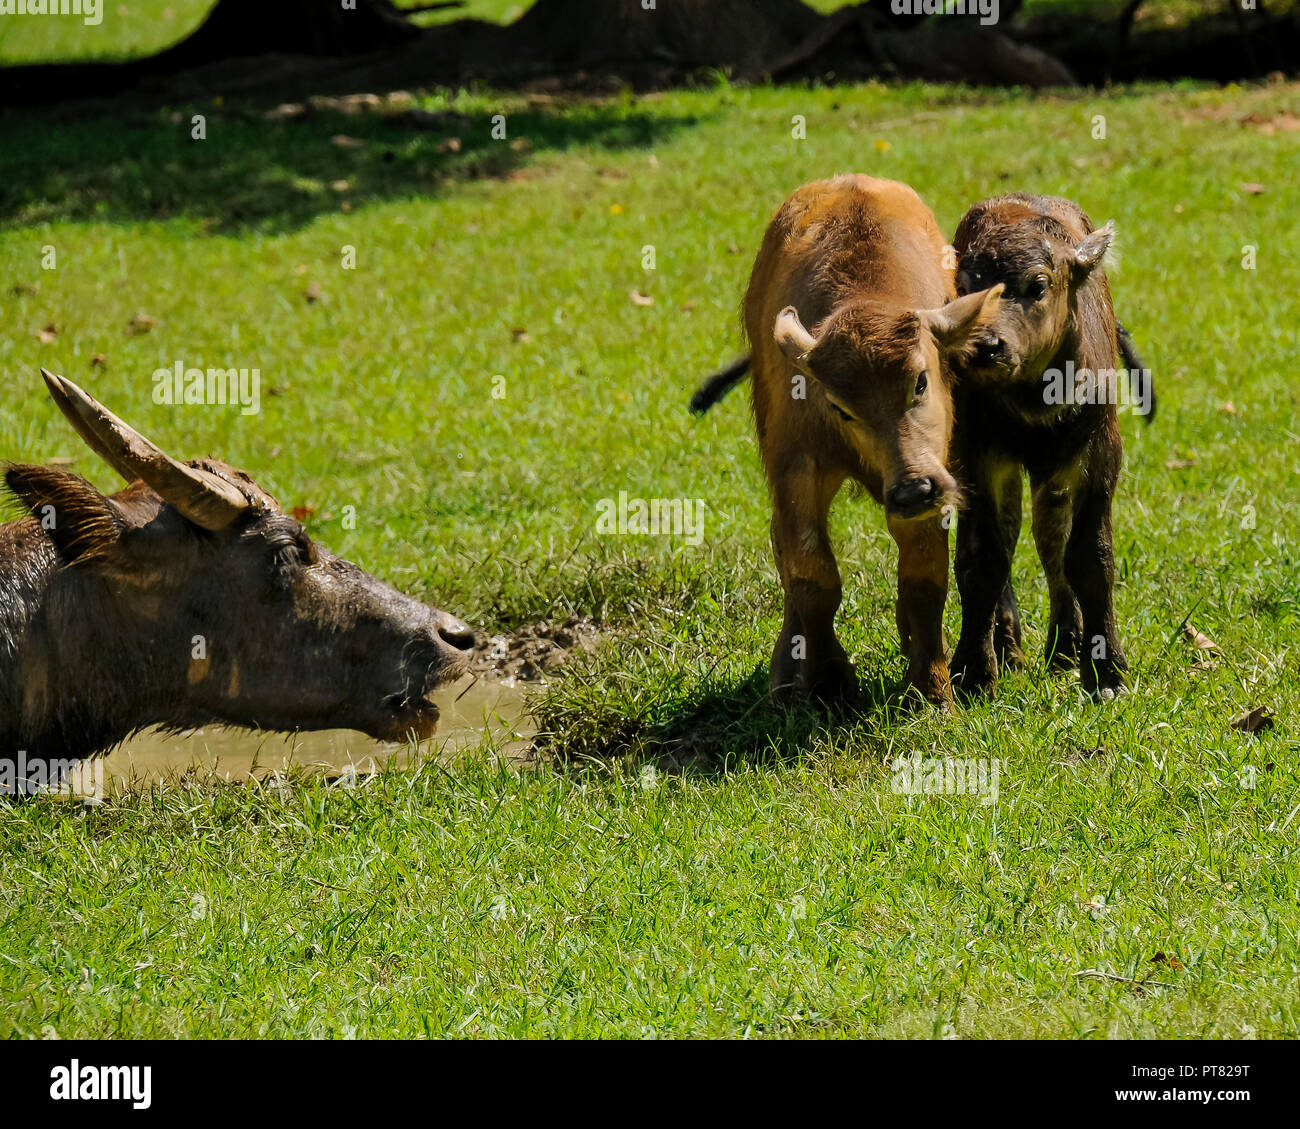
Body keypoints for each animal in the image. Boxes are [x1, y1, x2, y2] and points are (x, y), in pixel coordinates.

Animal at [694, 175, 1003, 705]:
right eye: (839, 407)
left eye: (921, 381)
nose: (913, 490)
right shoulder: (796, 469)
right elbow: (811, 574)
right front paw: (826, 684)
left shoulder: (932, 477)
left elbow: (924, 578)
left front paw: (932, 687)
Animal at [947, 192, 1141, 700]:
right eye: (965, 287)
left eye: (1037, 285)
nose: (984, 346)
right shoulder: (977, 454)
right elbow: (984, 559)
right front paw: (973, 672)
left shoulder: (1099, 453)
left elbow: (1089, 557)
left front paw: (1107, 672)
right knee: (1015, 533)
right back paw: (1009, 647)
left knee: (1051, 539)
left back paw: (1065, 647)